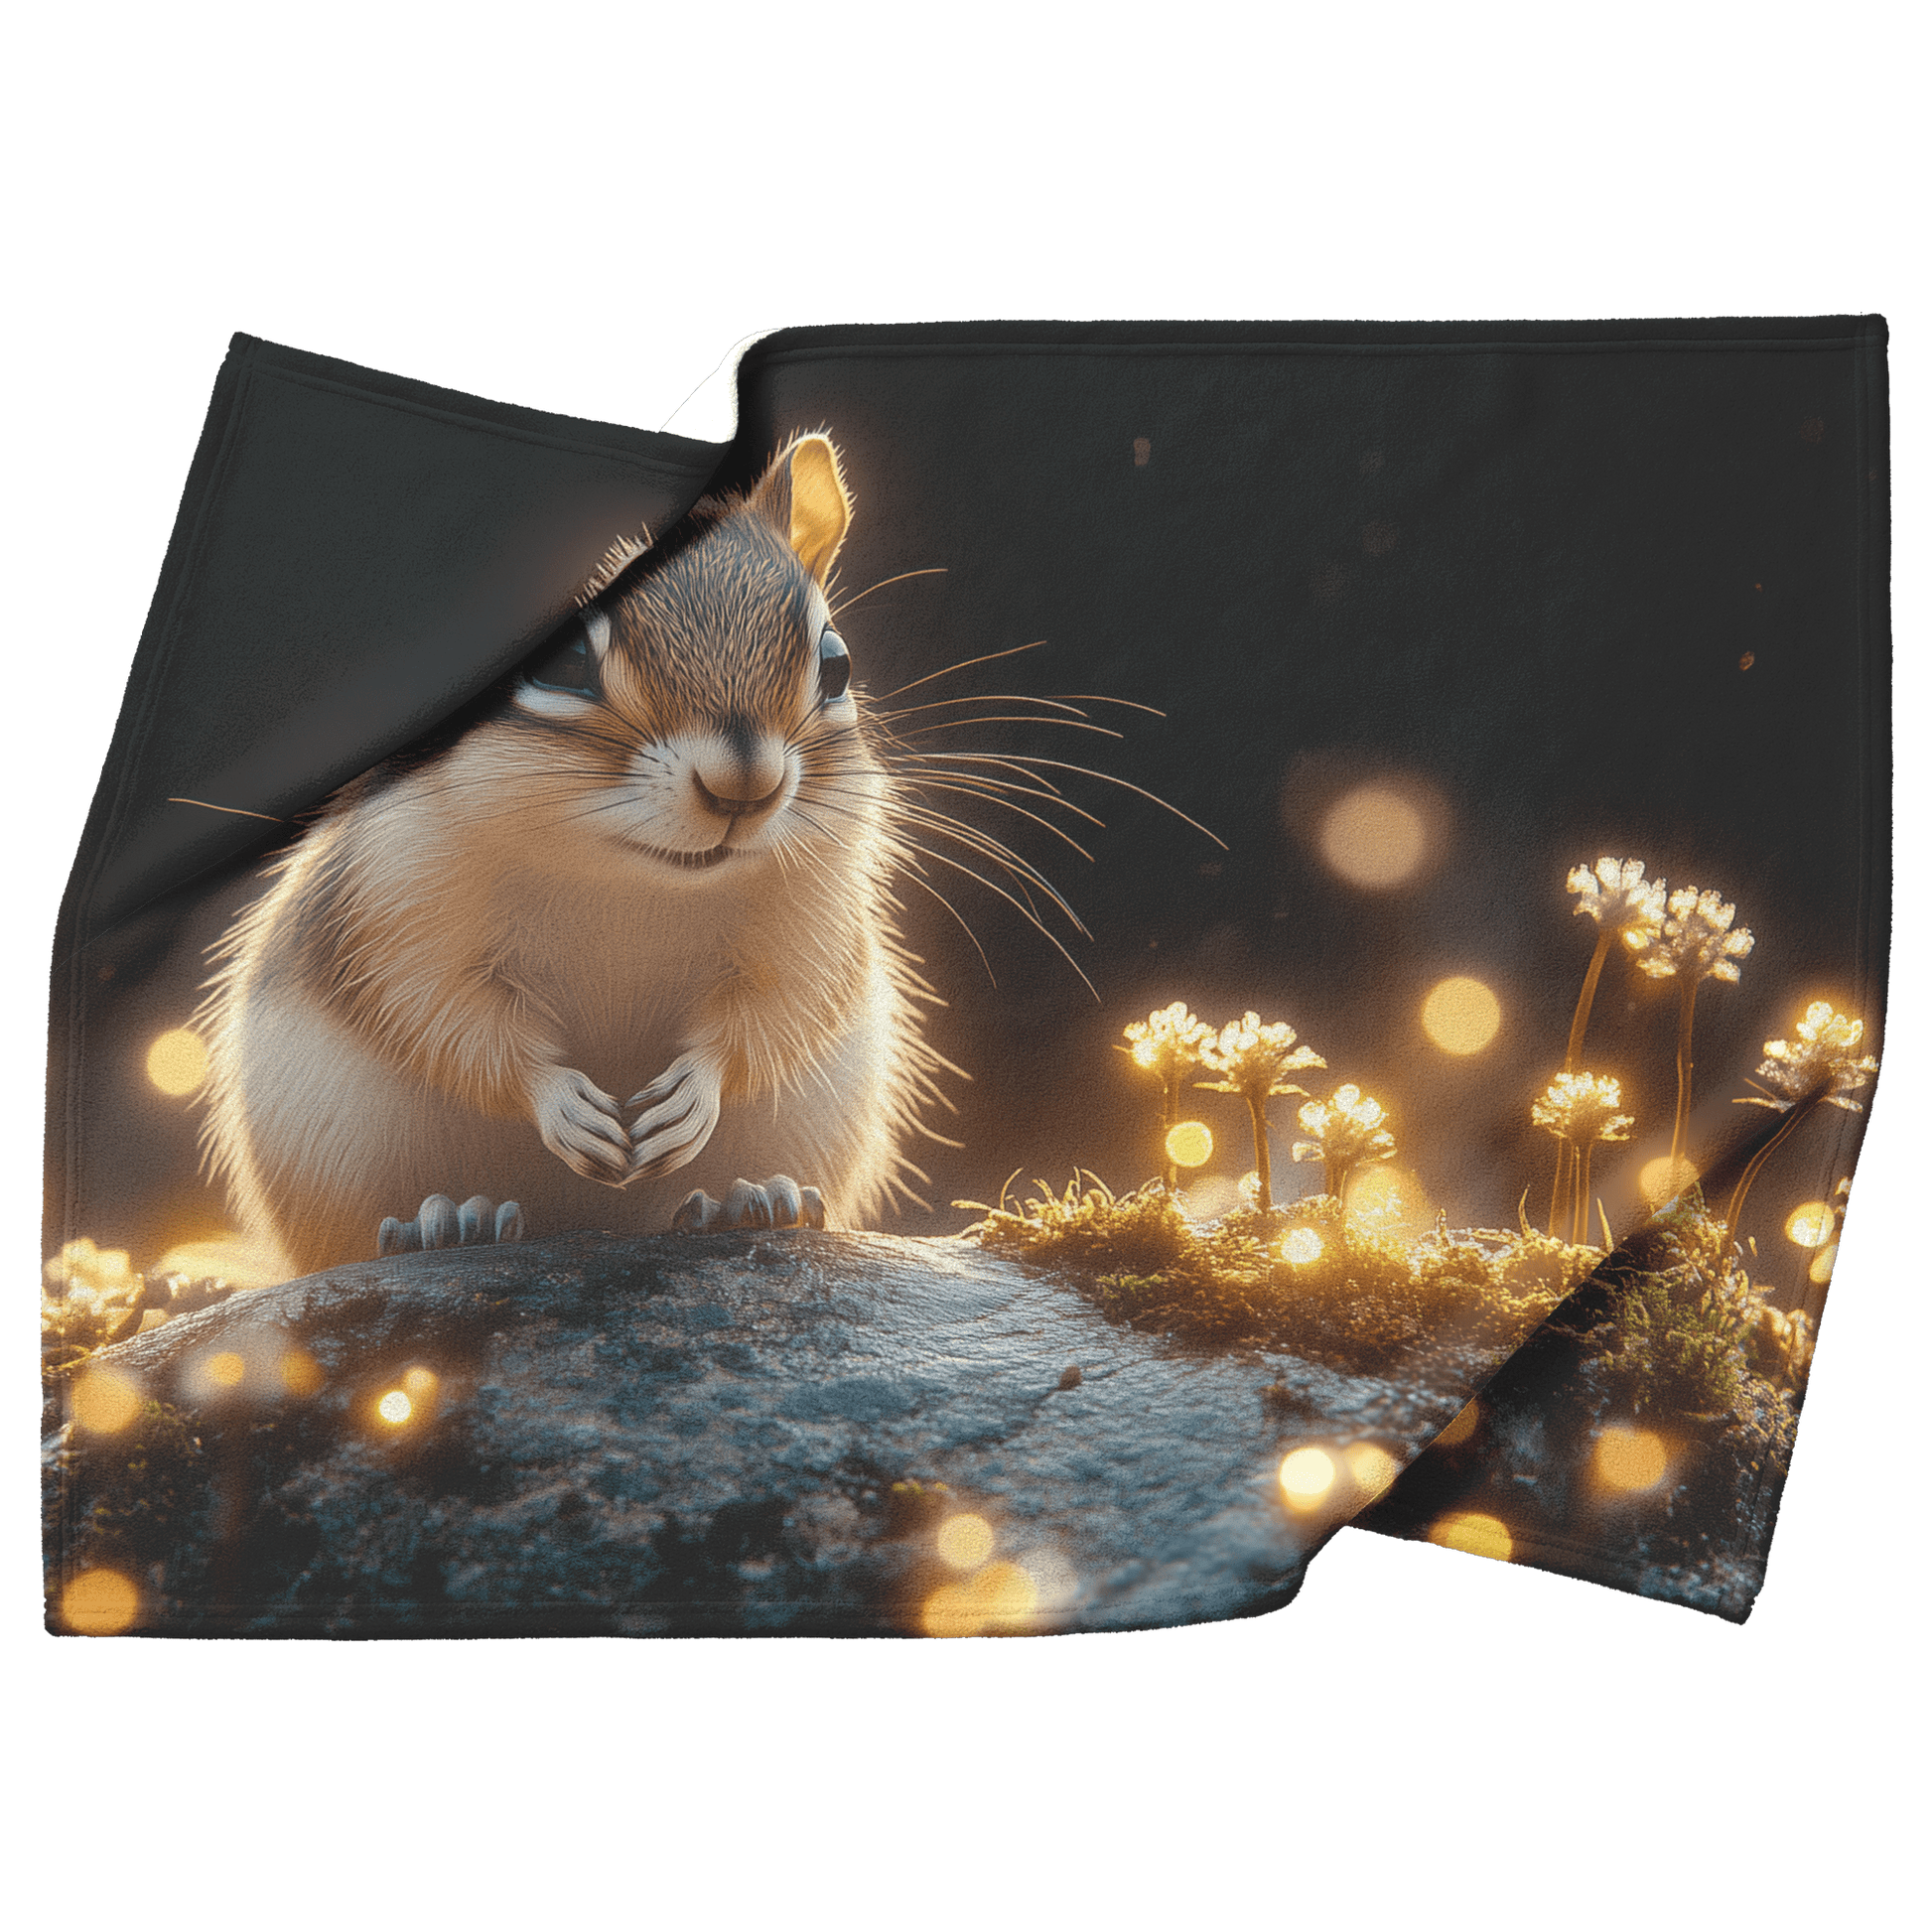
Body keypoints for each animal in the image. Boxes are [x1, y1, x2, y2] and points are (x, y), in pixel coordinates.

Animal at [197, 434, 957, 1280]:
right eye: (558, 664)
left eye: (836, 664)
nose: (746, 788)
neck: (632, 881)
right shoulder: (393, 910)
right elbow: (450, 1026)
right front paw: (559, 1102)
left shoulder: (812, 926)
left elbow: (774, 1018)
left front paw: (695, 1098)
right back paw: (449, 1220)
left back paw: (750, 1200)